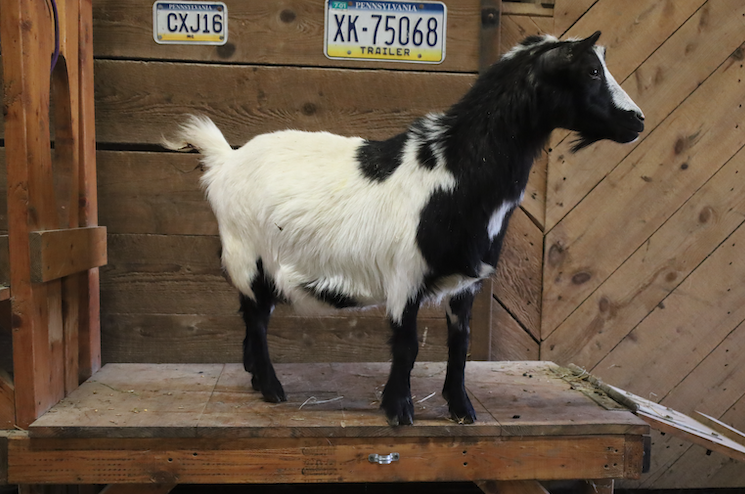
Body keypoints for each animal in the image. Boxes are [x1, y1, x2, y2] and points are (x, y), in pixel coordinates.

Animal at [163, 31, 644, 425]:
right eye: (591, 69)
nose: (638, 120)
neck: (454, 174)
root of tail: (225, 159)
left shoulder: (466, 283)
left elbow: (459, 346)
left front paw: (462, 411)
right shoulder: (405, 275)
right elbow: (407, 345)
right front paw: (399, 411)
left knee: (251, 316)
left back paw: (254, 378)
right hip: (249, 254)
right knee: (257, 318)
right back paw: (271, 388)